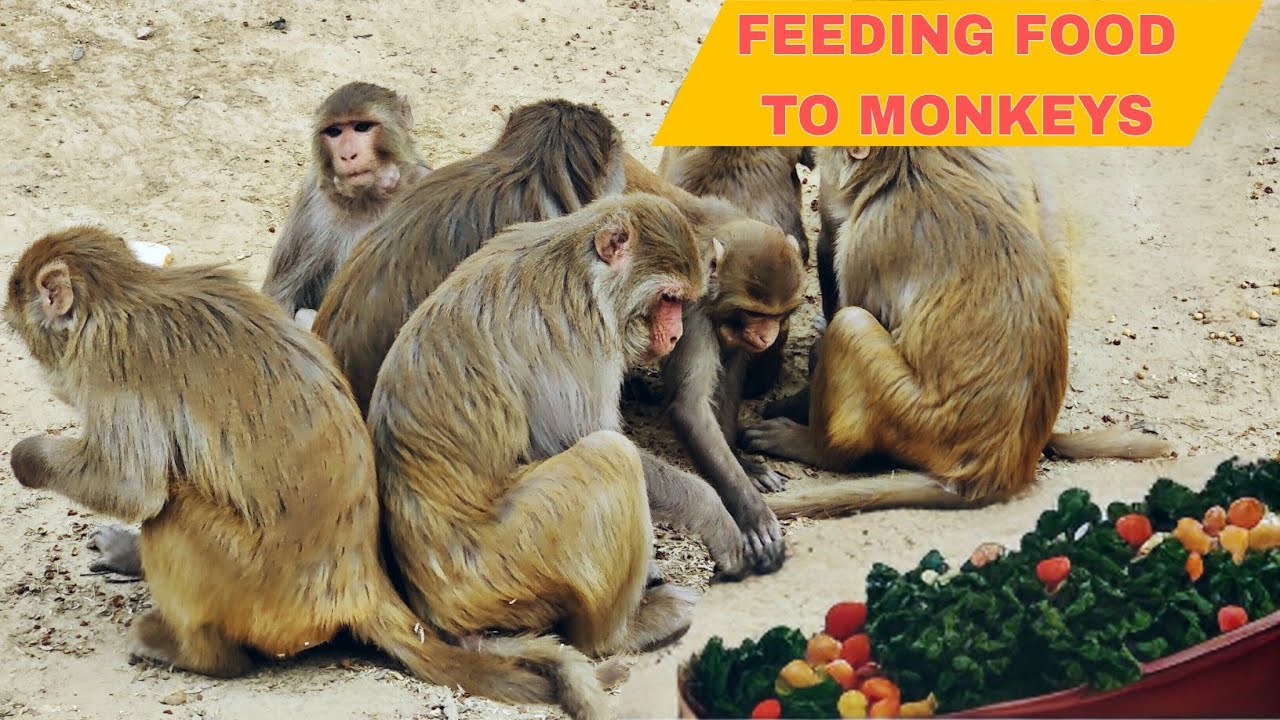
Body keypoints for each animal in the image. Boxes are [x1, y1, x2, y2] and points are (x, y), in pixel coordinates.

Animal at [5, 227, 617, 717]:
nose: (43, 370)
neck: (119, 293)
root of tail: (361, 583)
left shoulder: (113, 364)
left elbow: (134, 488)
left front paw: (26, 460)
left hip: (256, 592)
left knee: (173, 511)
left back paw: (201, 655)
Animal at [261, 82, 432, 326]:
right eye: (334, 132)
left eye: (362, 127)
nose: (348, 155)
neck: (369, 198)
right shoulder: (313, 204)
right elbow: (278, 297)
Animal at [366, 194, 766, 717]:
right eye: (668, 299)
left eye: (682, 302)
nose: (676, 334)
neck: (583, 271)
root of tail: (432, 609)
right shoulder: (573, 332)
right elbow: (580, 436)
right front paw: (715, 514)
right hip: (506, 565)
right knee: (610, 456)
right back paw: (623, 632)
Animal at [742, 147, 1171, 517]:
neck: (903, 173)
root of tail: (992, 466)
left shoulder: (865, 241)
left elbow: (856, 307)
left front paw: (791, 403)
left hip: (914, 418)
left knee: (852, 324)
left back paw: (814, 447)